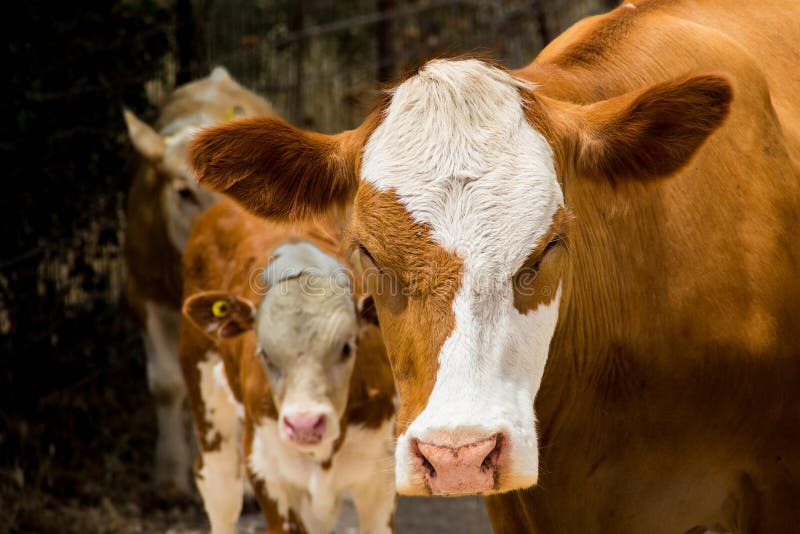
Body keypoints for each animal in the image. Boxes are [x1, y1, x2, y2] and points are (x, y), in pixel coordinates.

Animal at [179, 198, 396, 534]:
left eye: (347, 347)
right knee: (220, 485)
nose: (304, 424)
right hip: (201, 381)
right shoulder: (268, 473)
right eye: (265, 354)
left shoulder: (380, 475)